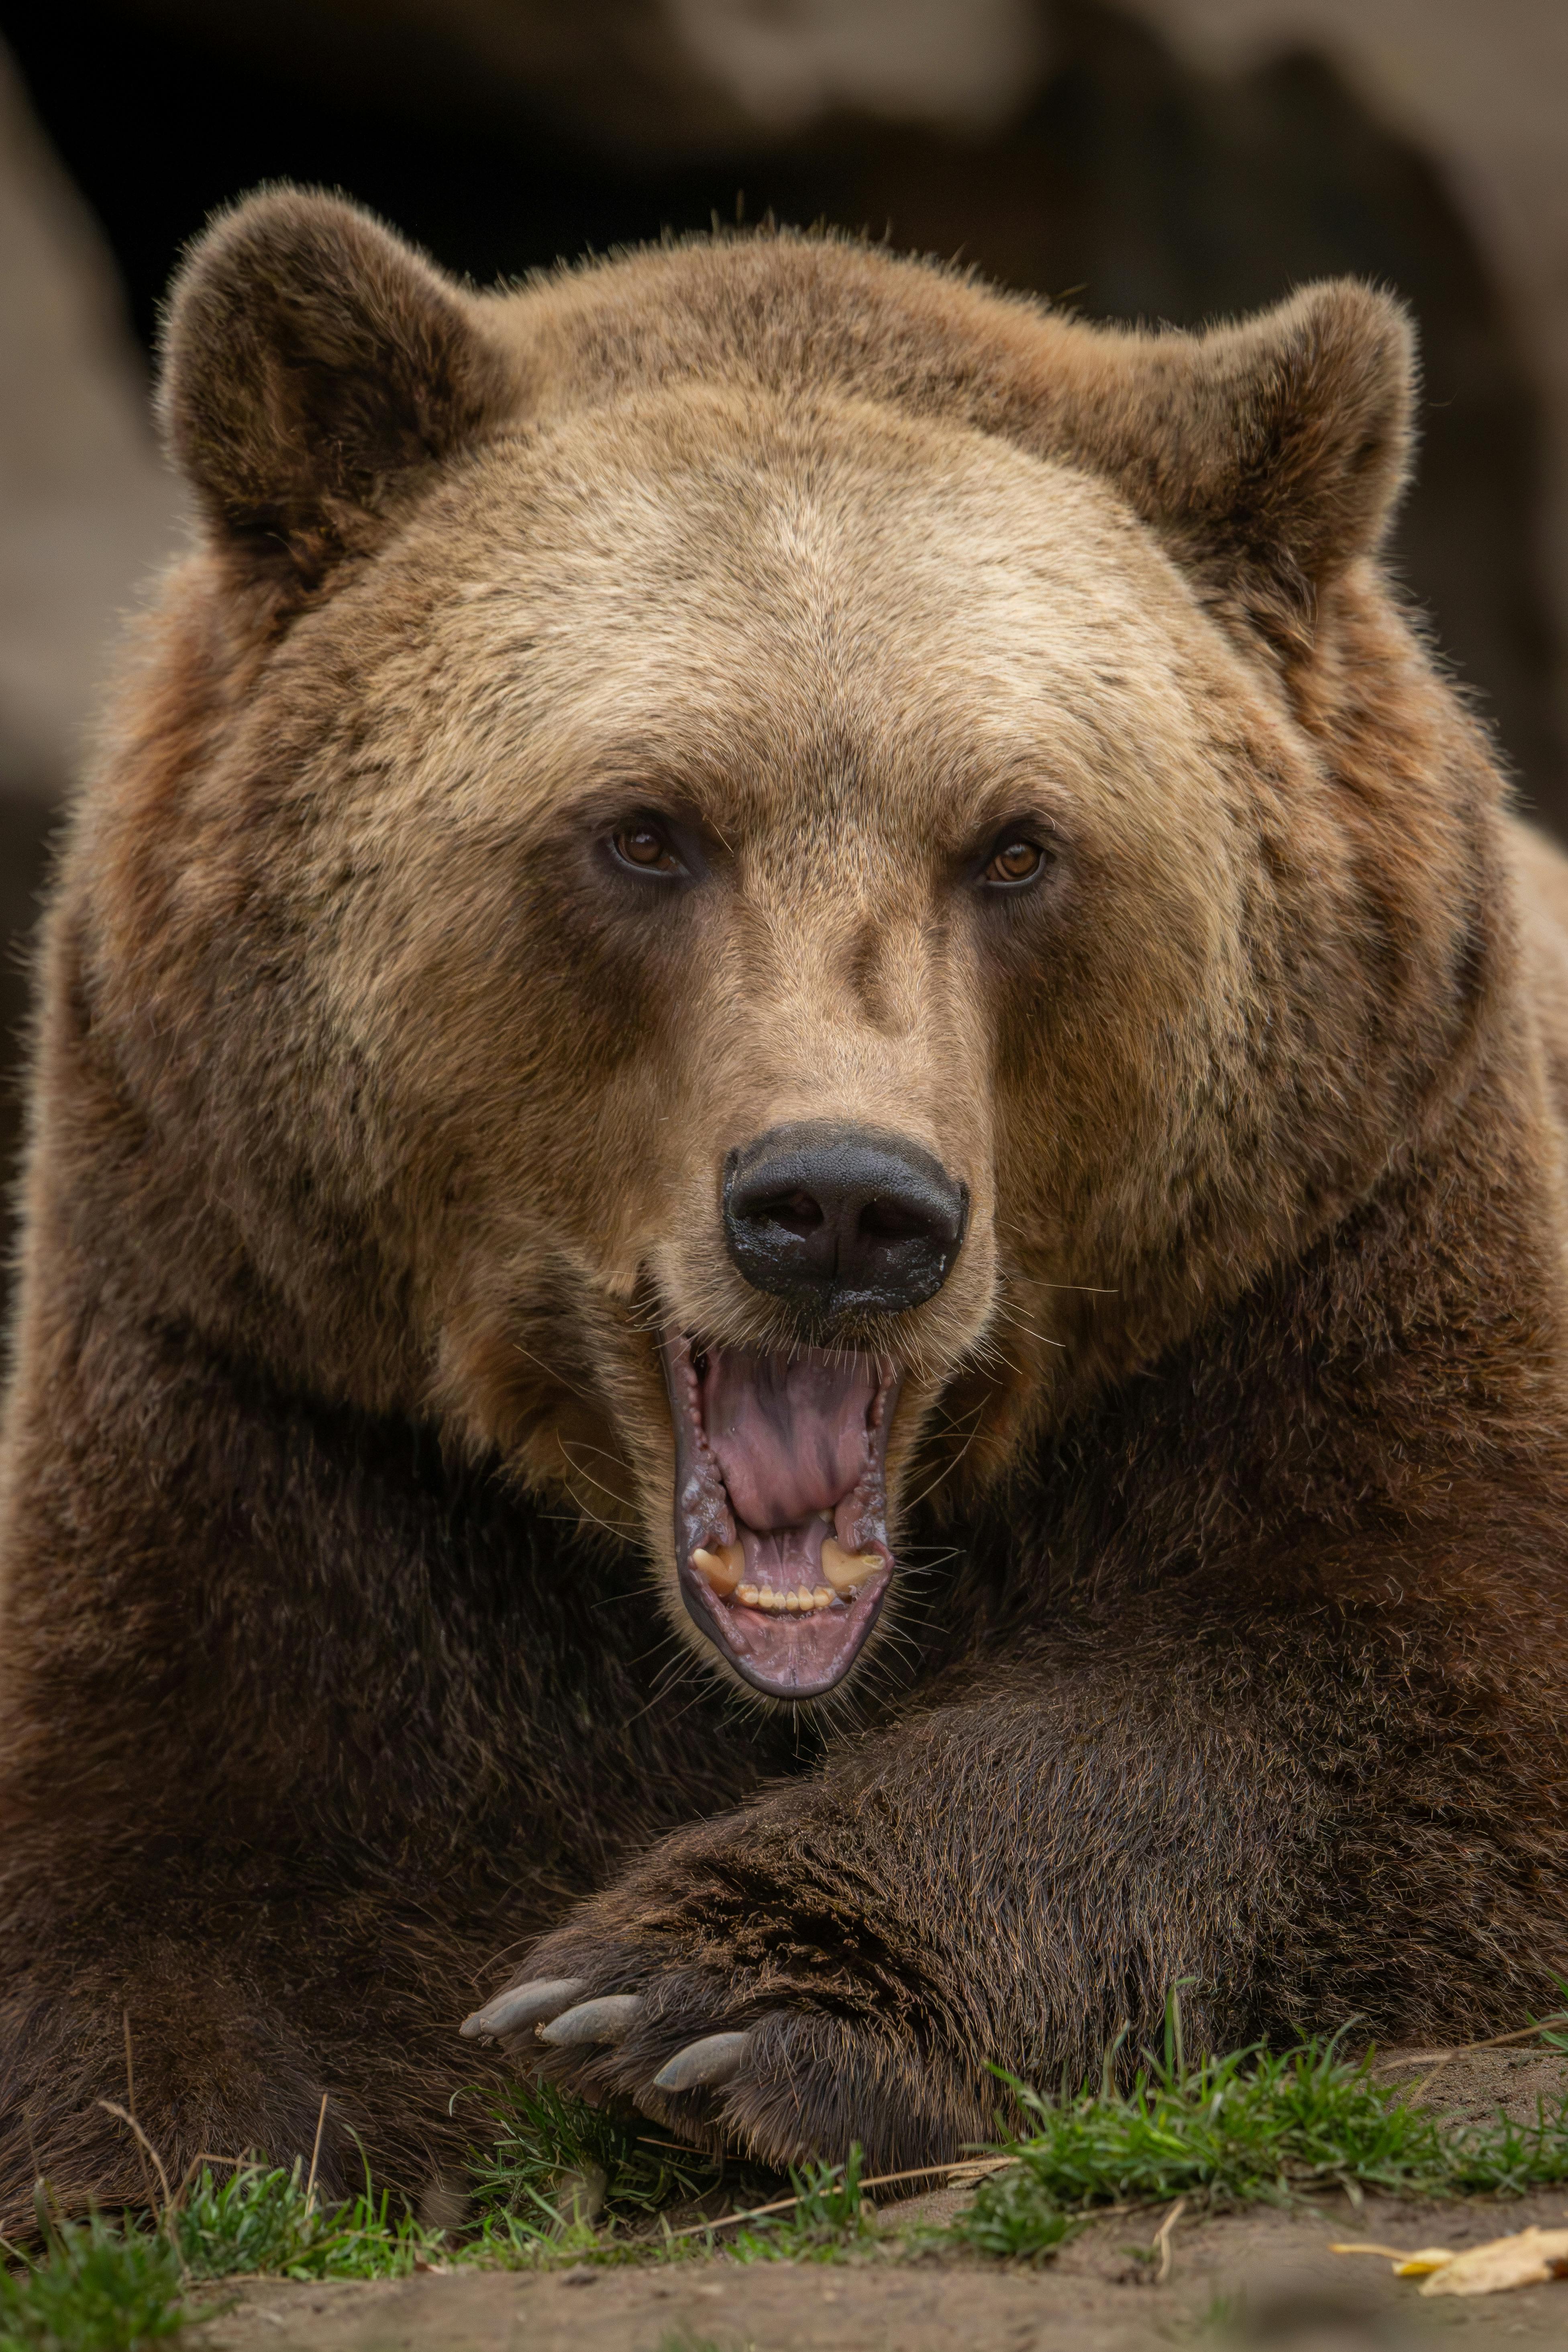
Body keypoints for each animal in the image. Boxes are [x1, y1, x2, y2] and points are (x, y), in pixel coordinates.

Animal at [2, 184, 1568, 2222]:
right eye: (640, 829)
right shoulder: (253, 1358)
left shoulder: (1336, 1245)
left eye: (1016, 845)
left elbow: (1376, 1698)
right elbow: (141, 1867)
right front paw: (155, 2147)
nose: (839, 1205)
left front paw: (689, 1998)